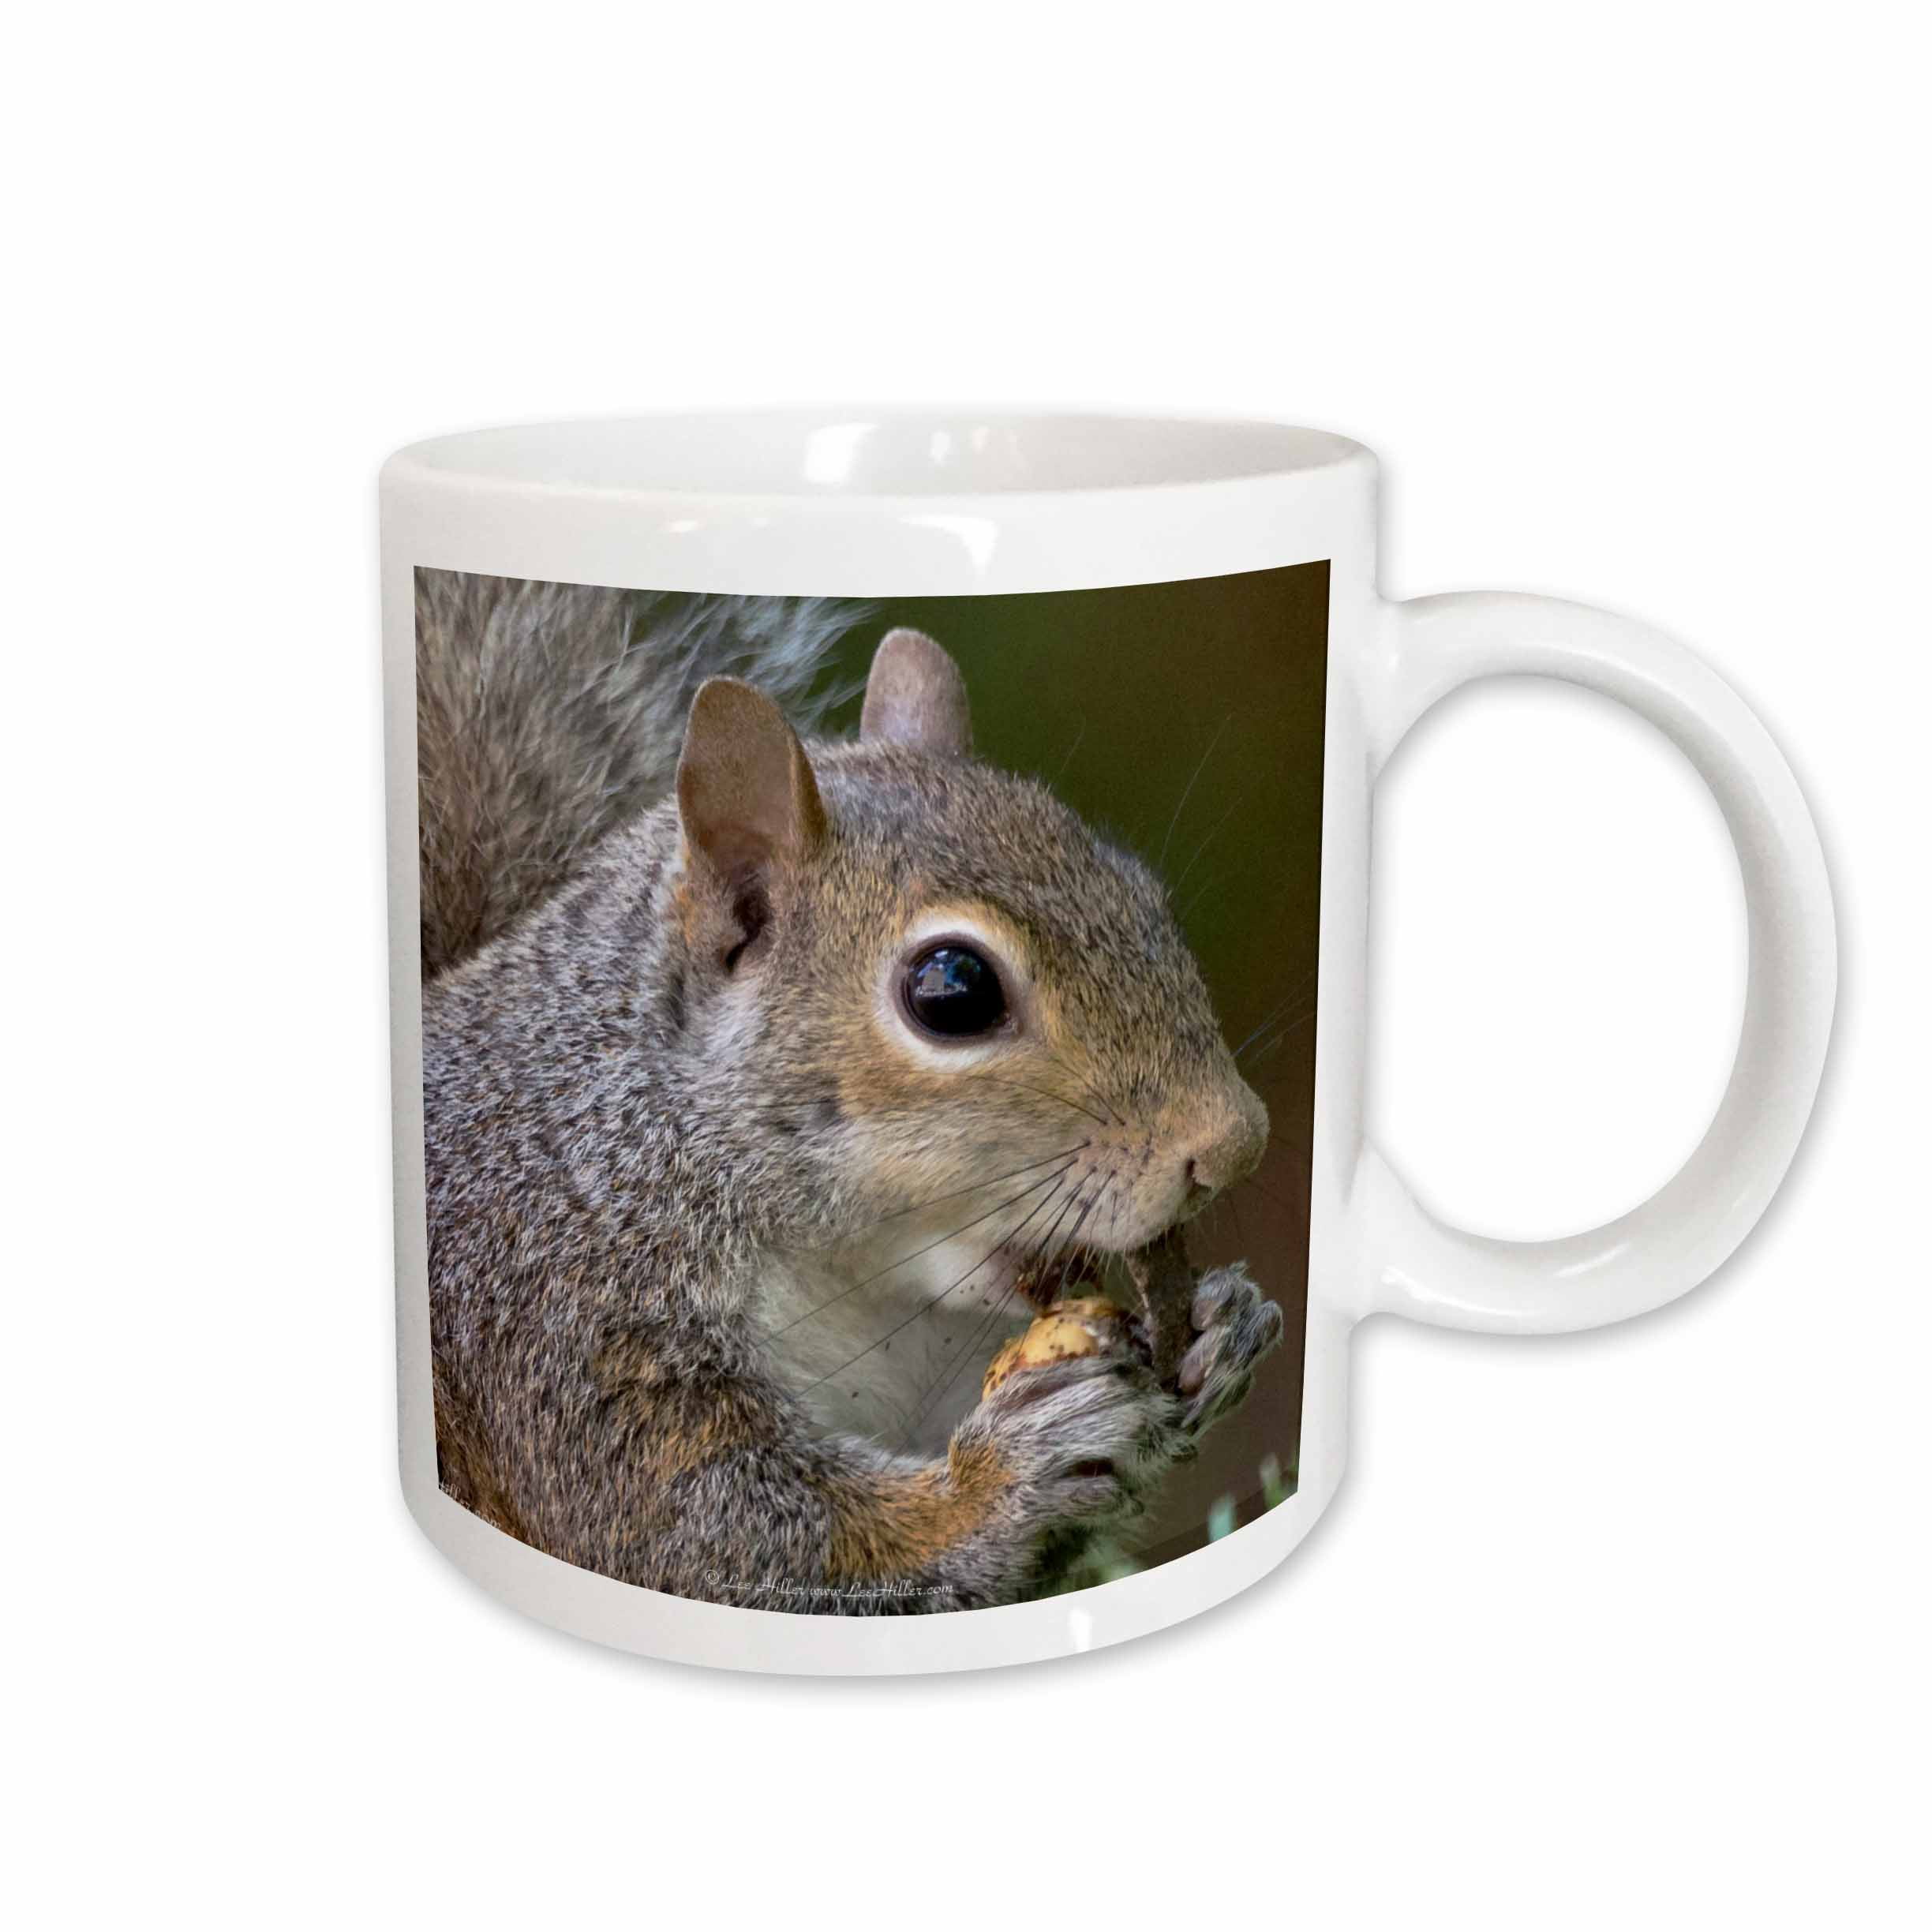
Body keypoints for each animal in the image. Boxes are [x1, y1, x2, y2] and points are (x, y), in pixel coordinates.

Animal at [418, 570, 1283, 1612]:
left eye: (1146, 897)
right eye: (953, 988)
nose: (1234, 1143)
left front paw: (1228, 1326)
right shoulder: (559, 1330)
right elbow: (731, 1545)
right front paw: (1007, 1473)